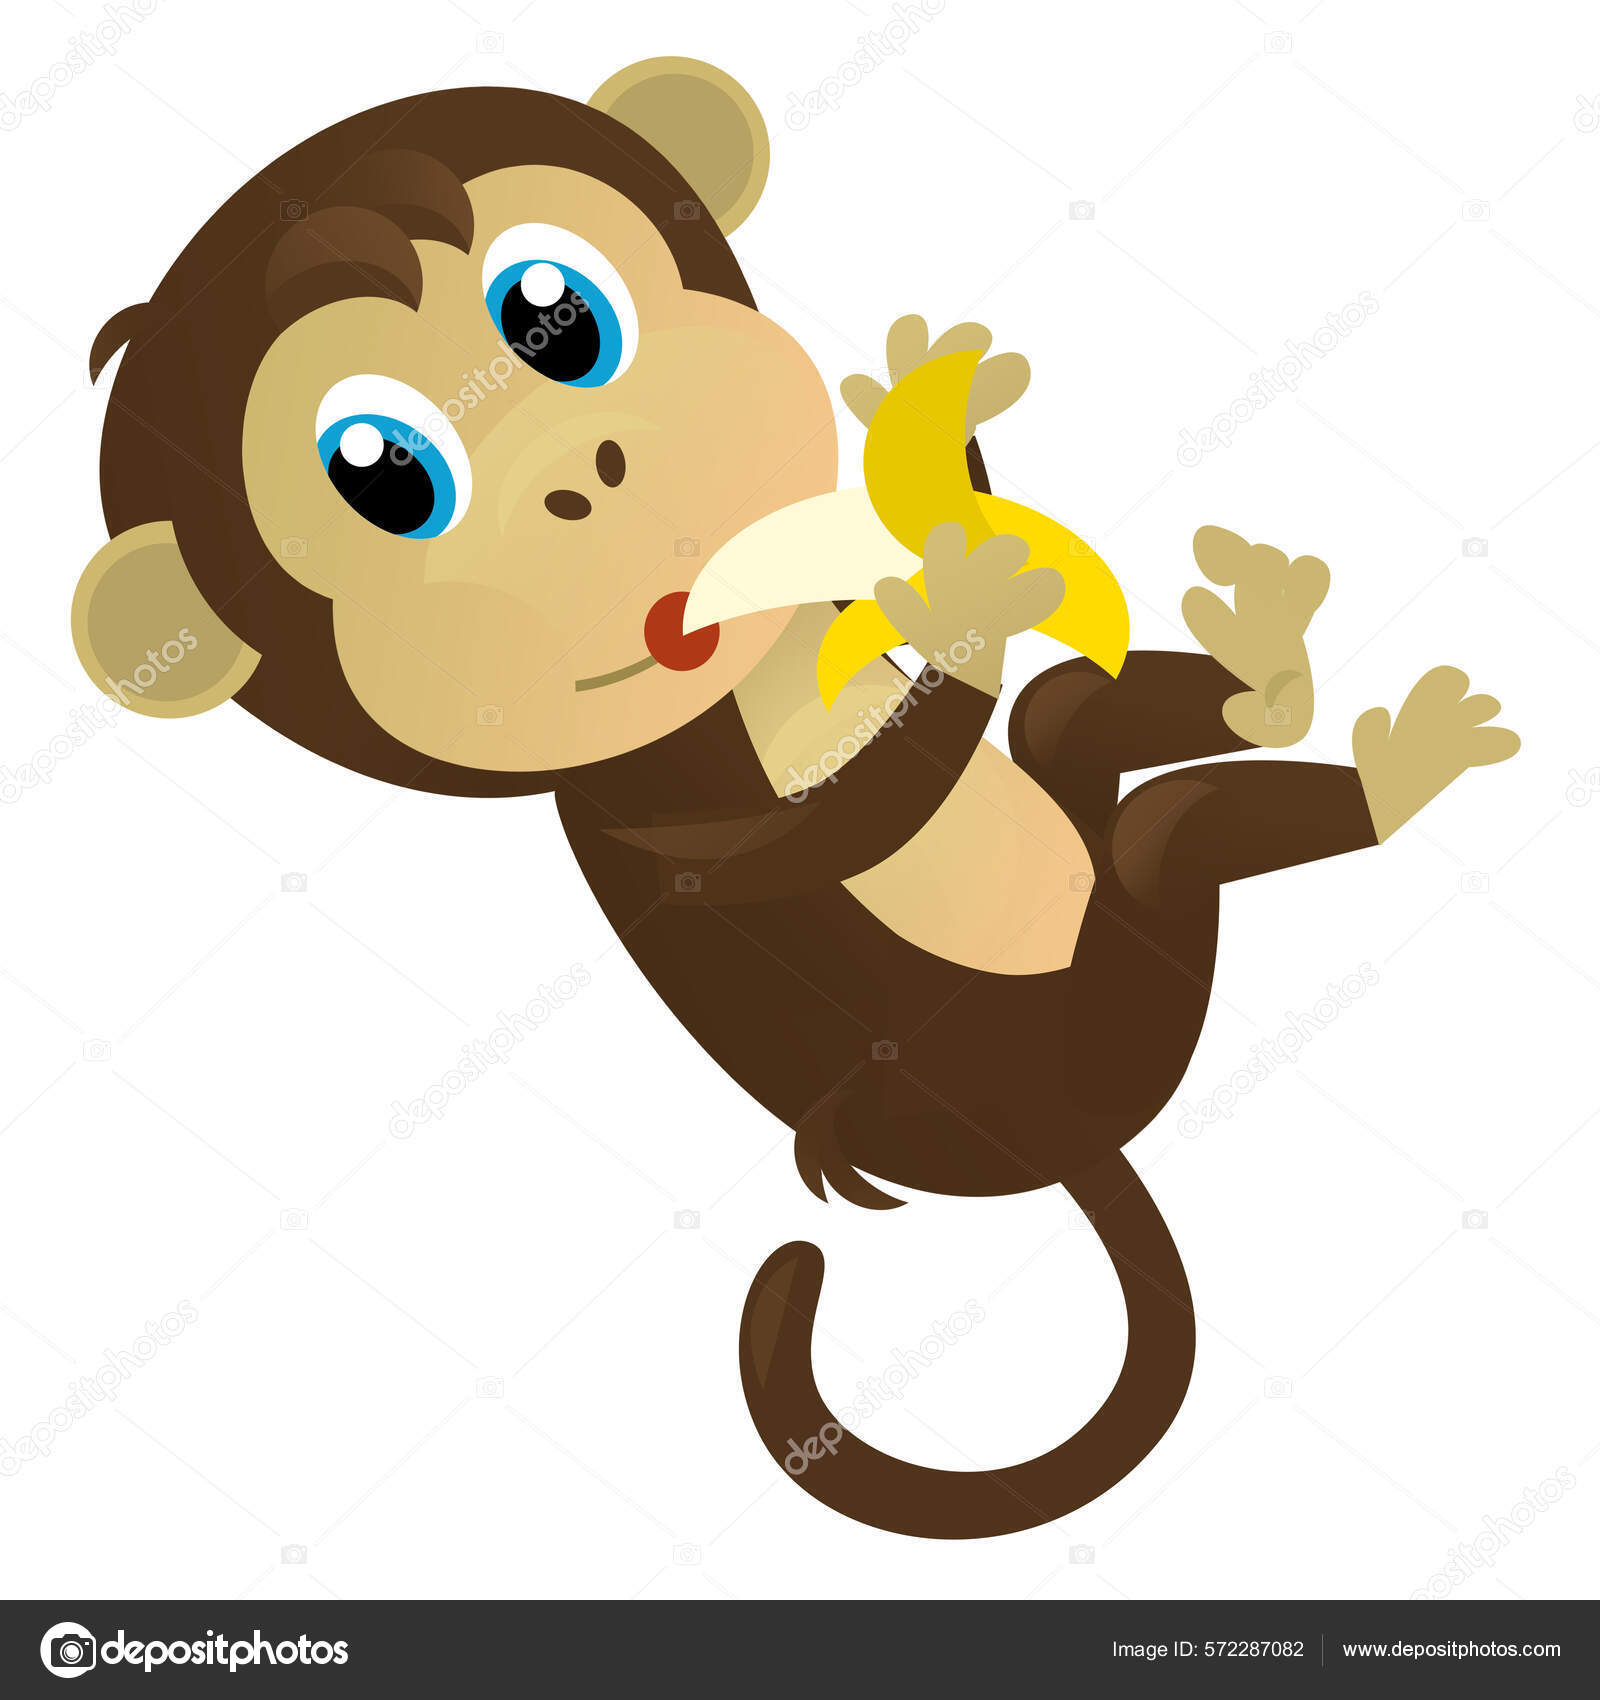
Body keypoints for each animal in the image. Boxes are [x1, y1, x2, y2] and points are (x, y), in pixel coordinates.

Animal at [73, 60, 1518, 1540]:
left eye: (552, 316)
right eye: (383, 475)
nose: (584, 472)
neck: (737, 679)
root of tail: (1075, 1144)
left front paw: (944, 443)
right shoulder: (656, 816)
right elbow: (837, 825)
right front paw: (968, 592)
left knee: (1073, 719)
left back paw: (1272, 671)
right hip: (1100, 1027)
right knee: (1168, 837)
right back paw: (1389, 775)